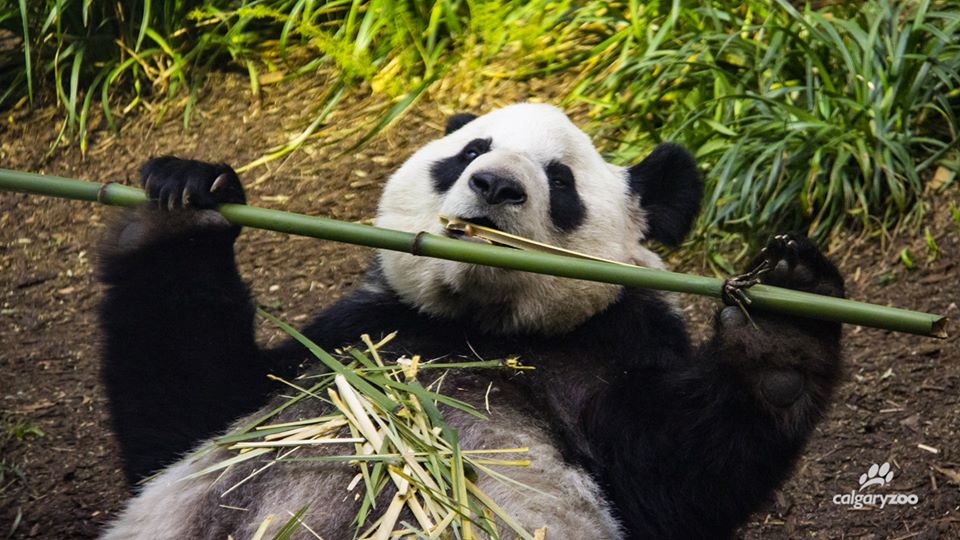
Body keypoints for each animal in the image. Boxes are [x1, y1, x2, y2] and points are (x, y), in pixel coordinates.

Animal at [97, 103, 844, 539]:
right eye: (469, 151)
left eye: (560, 181)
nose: (495, 185)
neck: (482, 328)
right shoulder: (352, 335)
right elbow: (187, 414)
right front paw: (181, 200)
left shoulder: (610, 346)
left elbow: (678, 475)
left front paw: (783, 326)